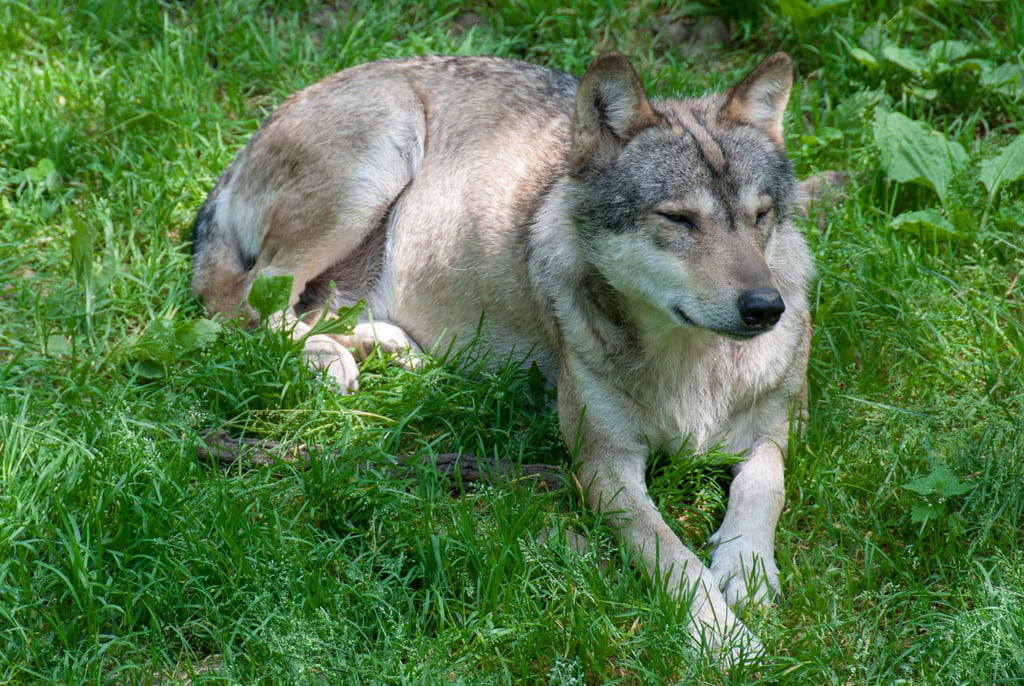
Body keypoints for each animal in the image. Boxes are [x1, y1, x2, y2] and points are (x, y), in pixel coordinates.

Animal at [191, 51, 827, 661]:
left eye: (761, 216)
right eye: (678, 219)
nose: (765, 308)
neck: (694, 366)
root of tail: (276, 113)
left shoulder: (779, 430)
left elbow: (764, 489)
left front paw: (747, 571)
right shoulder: (603, 466)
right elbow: (672, 556)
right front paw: (721, 636)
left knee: (311, 307)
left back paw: (394, 351)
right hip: (377, 160)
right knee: (242, 305)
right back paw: (329, 359)